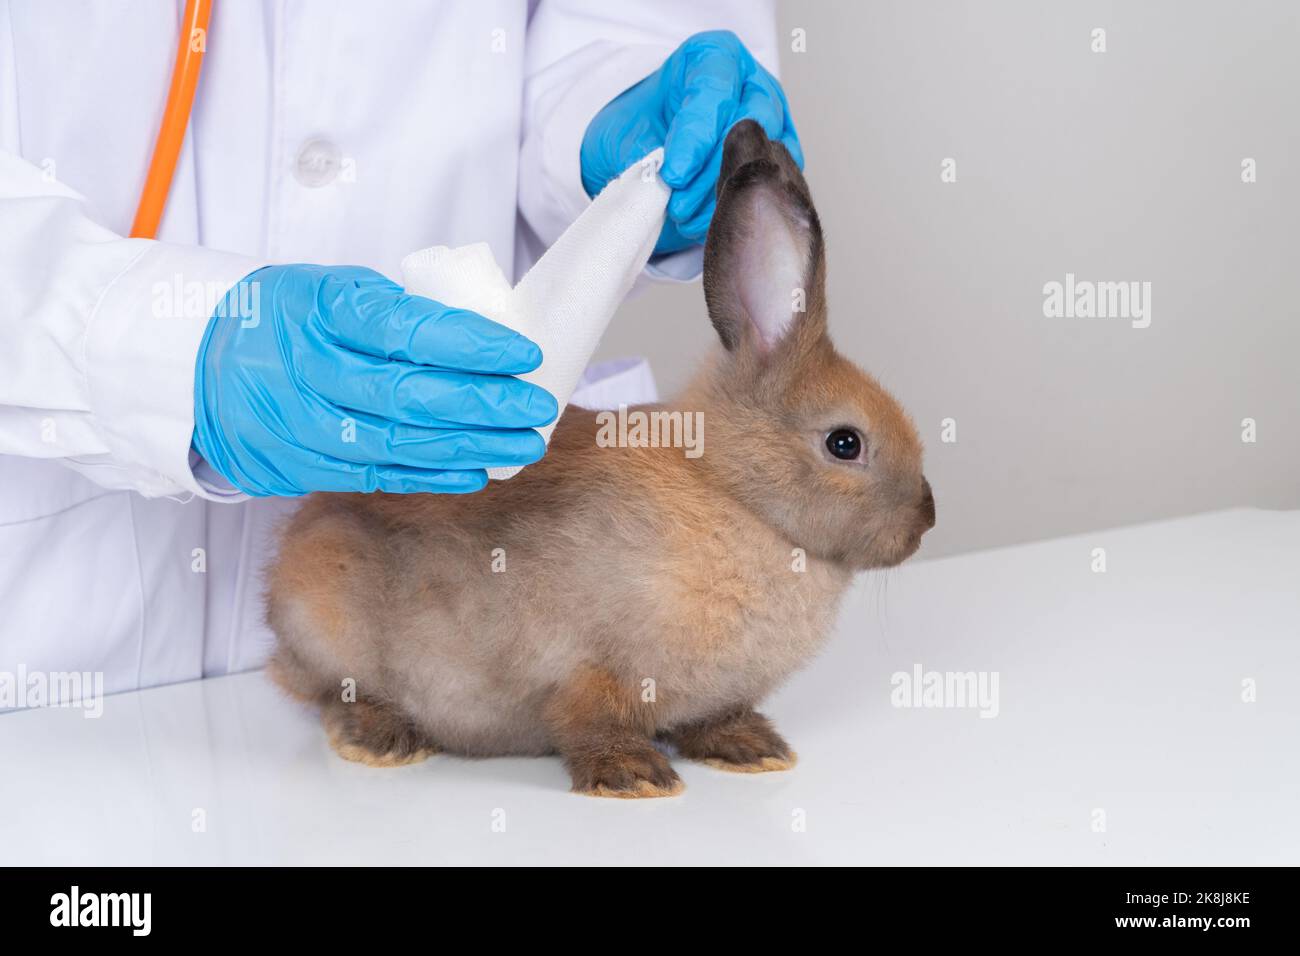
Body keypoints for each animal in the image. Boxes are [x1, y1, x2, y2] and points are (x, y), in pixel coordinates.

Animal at [264, 119, 935, 798]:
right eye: (845, 443)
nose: (926, 521)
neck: (735, 494)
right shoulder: (588, 670)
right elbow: (589, 720)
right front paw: (634, 776)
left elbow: (713, 718)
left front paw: (754, 749)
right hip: (328, 631)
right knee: (332, 694)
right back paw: (380, 739)